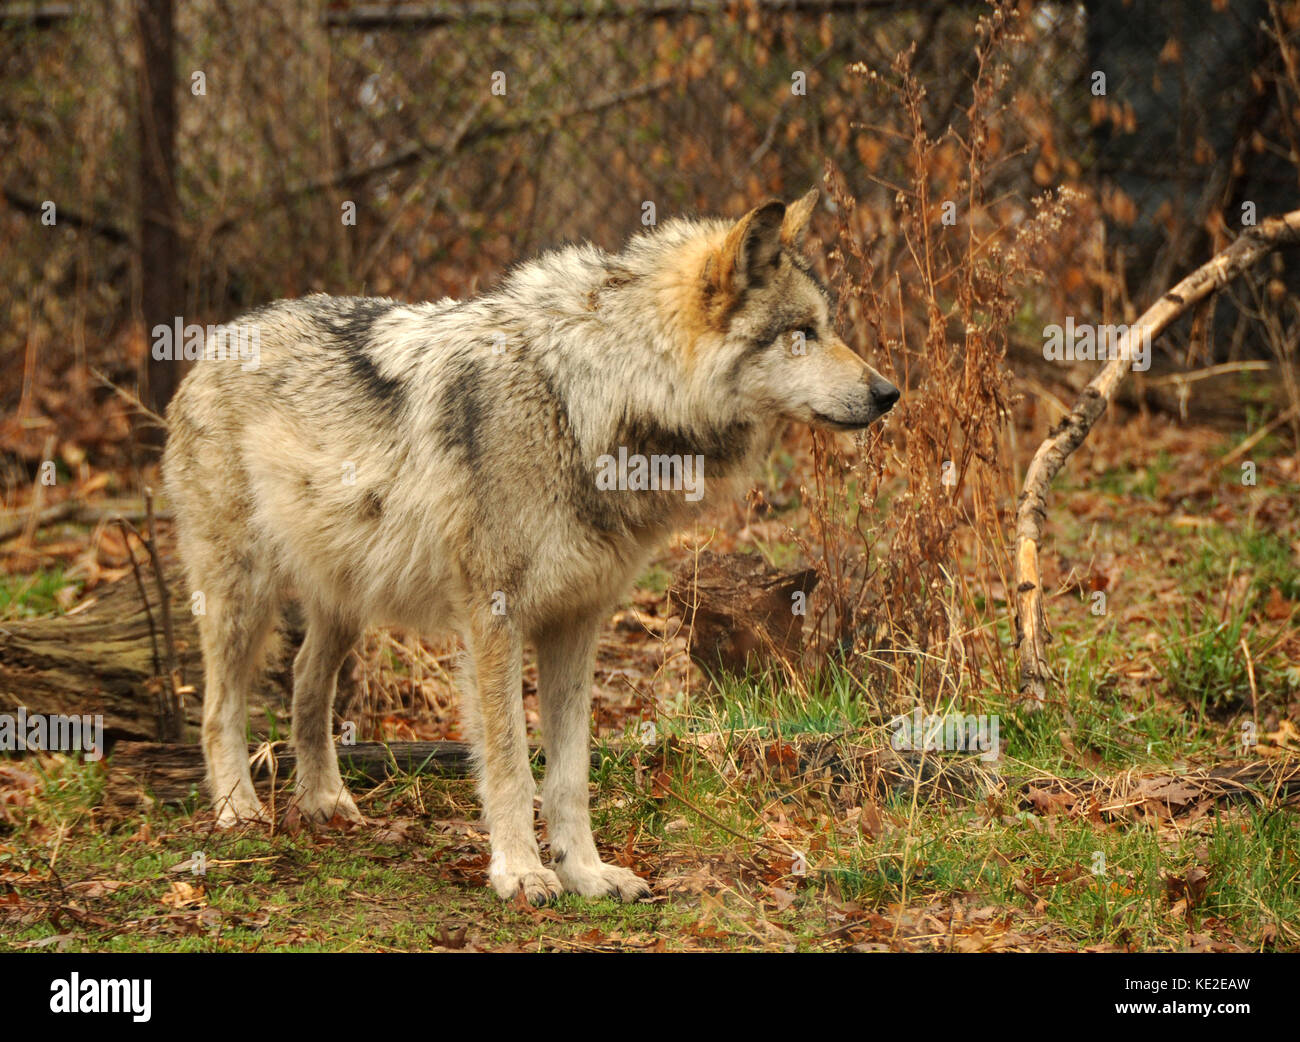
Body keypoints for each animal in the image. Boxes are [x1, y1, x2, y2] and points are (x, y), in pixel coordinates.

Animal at [163, 189, 899, 904]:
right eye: (801, 334)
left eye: (827, 327)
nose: (888, 392)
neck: (588, 401)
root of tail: (216, 337)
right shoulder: (493, 619)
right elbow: (511, 762)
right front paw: (519, 872)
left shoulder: (578, 621)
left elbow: (569, 773)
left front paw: (587, 874)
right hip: (243, 594)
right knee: (218, 708)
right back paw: (237, 808)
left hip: (346, 603)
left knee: (303, 682)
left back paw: (325, 800)